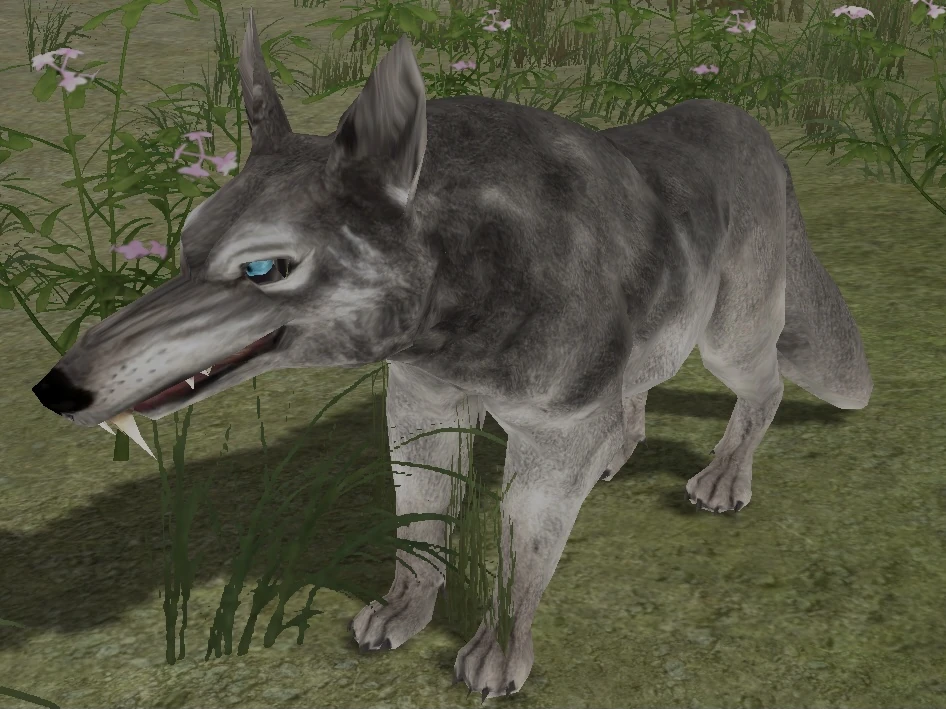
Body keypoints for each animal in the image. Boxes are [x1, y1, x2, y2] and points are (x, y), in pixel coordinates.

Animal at [32, 10, 871, 700]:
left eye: (265, 268)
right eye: (186, 248)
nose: (55, 387)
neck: (463, 282)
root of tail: (750, 125)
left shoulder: (550, 434)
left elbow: (520, 555)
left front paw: (499, 650)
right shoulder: (423, 404)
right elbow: (421, 521)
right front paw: (406, 608)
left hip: (730, 337)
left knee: (762, 386)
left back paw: (726, 473)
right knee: (634, 393)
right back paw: (617, 450)